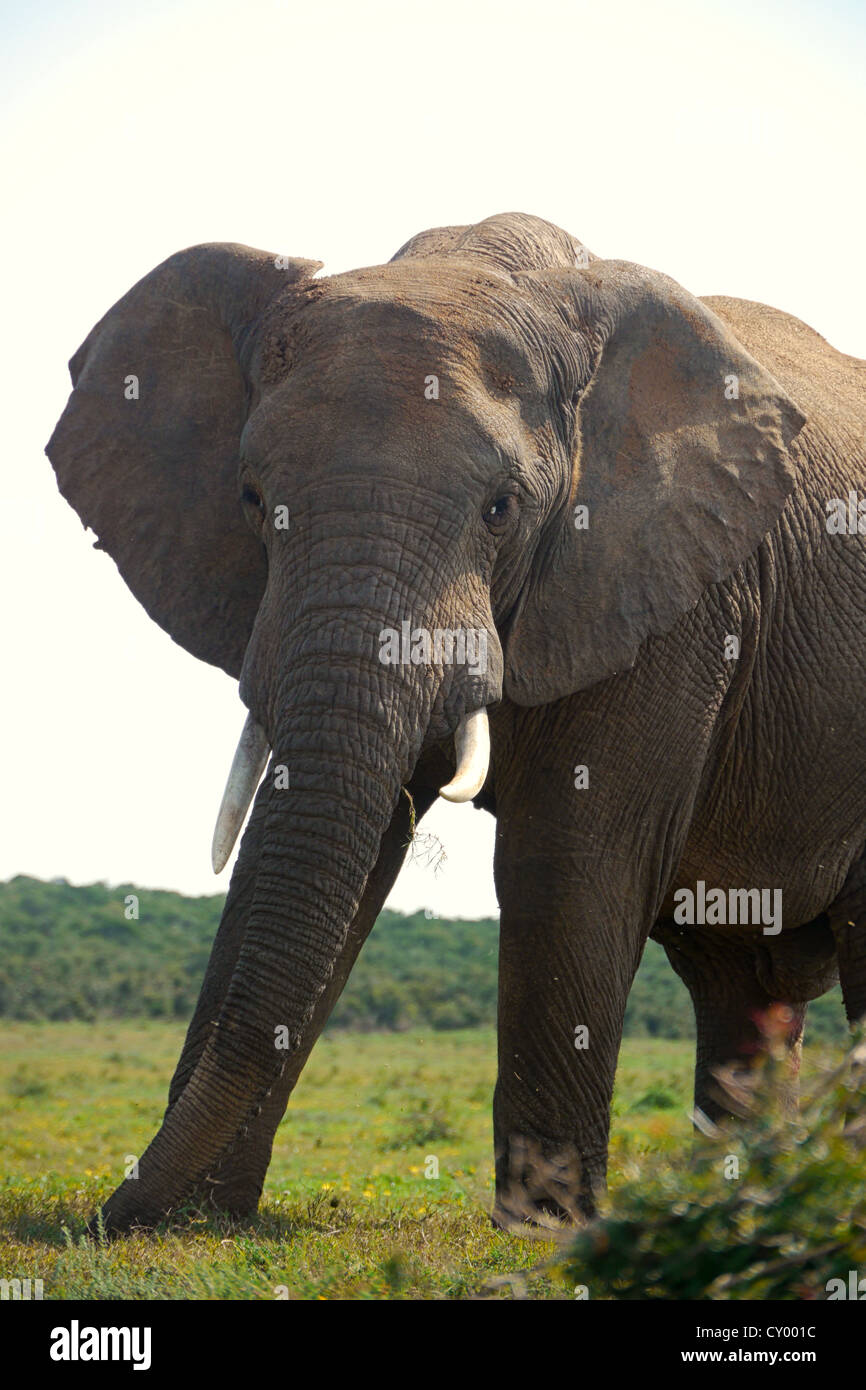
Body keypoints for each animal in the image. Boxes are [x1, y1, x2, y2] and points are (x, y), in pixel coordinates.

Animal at [46, 211, 866, 1235]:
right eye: (252, 500)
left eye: (501, 508)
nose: (107, 1217)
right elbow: (330, 839)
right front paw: (201, 1220)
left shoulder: (680, 594)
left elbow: (568, 856)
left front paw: (548, 1231)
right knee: (737, 994)